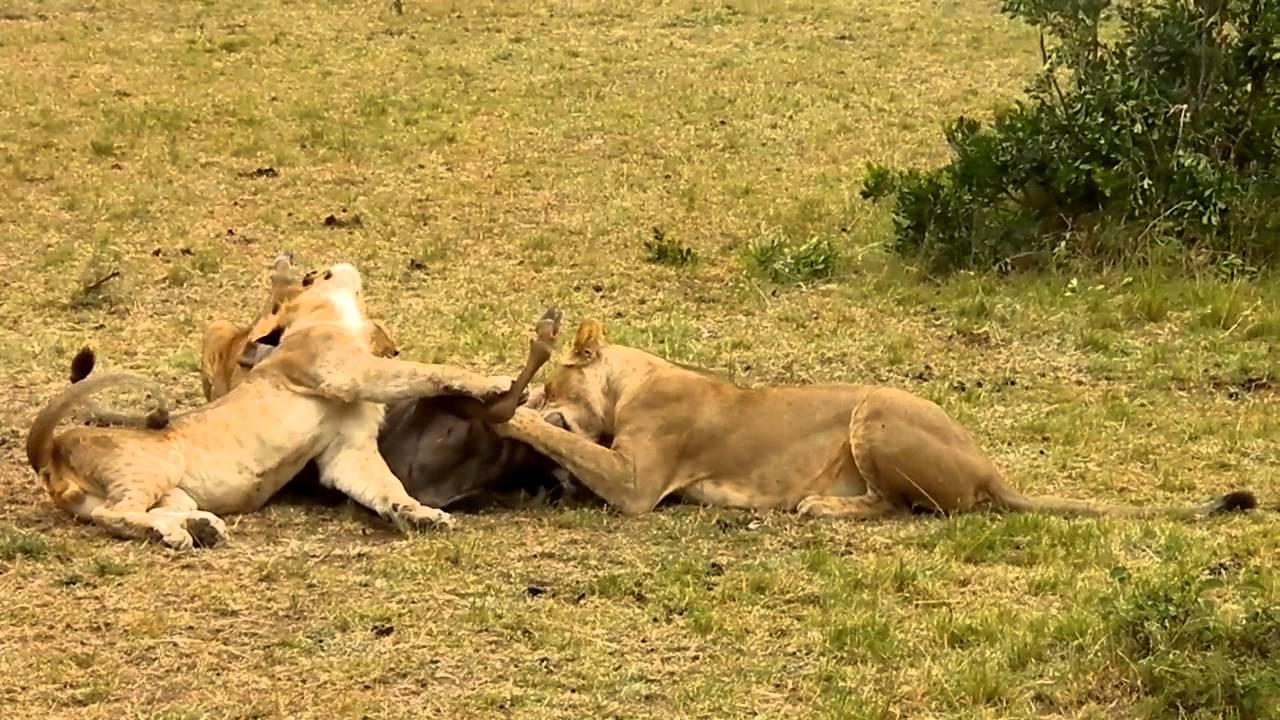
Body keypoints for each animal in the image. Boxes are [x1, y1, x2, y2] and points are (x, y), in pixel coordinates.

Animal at [26, 261, 516, 549]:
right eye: (312, 279)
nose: (326, 265)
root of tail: (50, 453)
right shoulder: (346, 372)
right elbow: (427, 369)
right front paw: (494, 382)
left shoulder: (346, 450)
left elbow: (385, 487)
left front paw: (420, 515)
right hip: (149, 468)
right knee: (114, 513)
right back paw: (178, 534)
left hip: (173, 491)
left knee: (136, 511)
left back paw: (200, 528)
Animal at [488, 318, 1259, 520]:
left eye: (554, 379)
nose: (534, 391)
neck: (632, 379)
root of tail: (990, 467)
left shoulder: (638, 484)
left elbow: (551, 433)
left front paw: (501, 408)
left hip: (874, 411)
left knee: (915, 509)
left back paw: (819, 508)